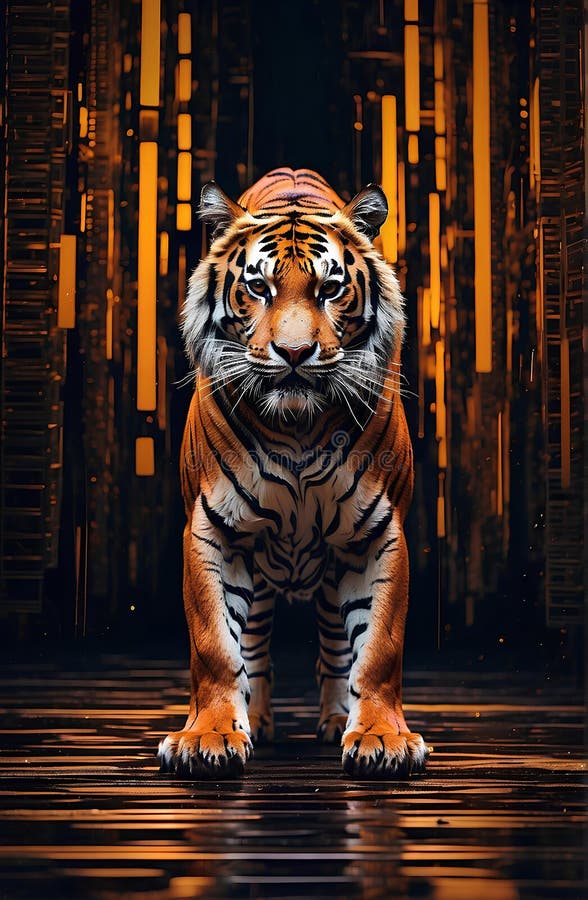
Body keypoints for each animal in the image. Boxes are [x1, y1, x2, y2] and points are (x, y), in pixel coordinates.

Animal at [157, 167, 429, 779]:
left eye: (330, 289)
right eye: (258, 287)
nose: (295, 353)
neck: (298, 428)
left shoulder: (379, 535)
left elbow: (378, 648)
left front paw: (382, 738)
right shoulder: (212, 531)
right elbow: (216, 646)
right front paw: (208, 738)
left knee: (335, 645)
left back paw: (337, 720)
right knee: (254, 644)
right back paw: (253, 720)